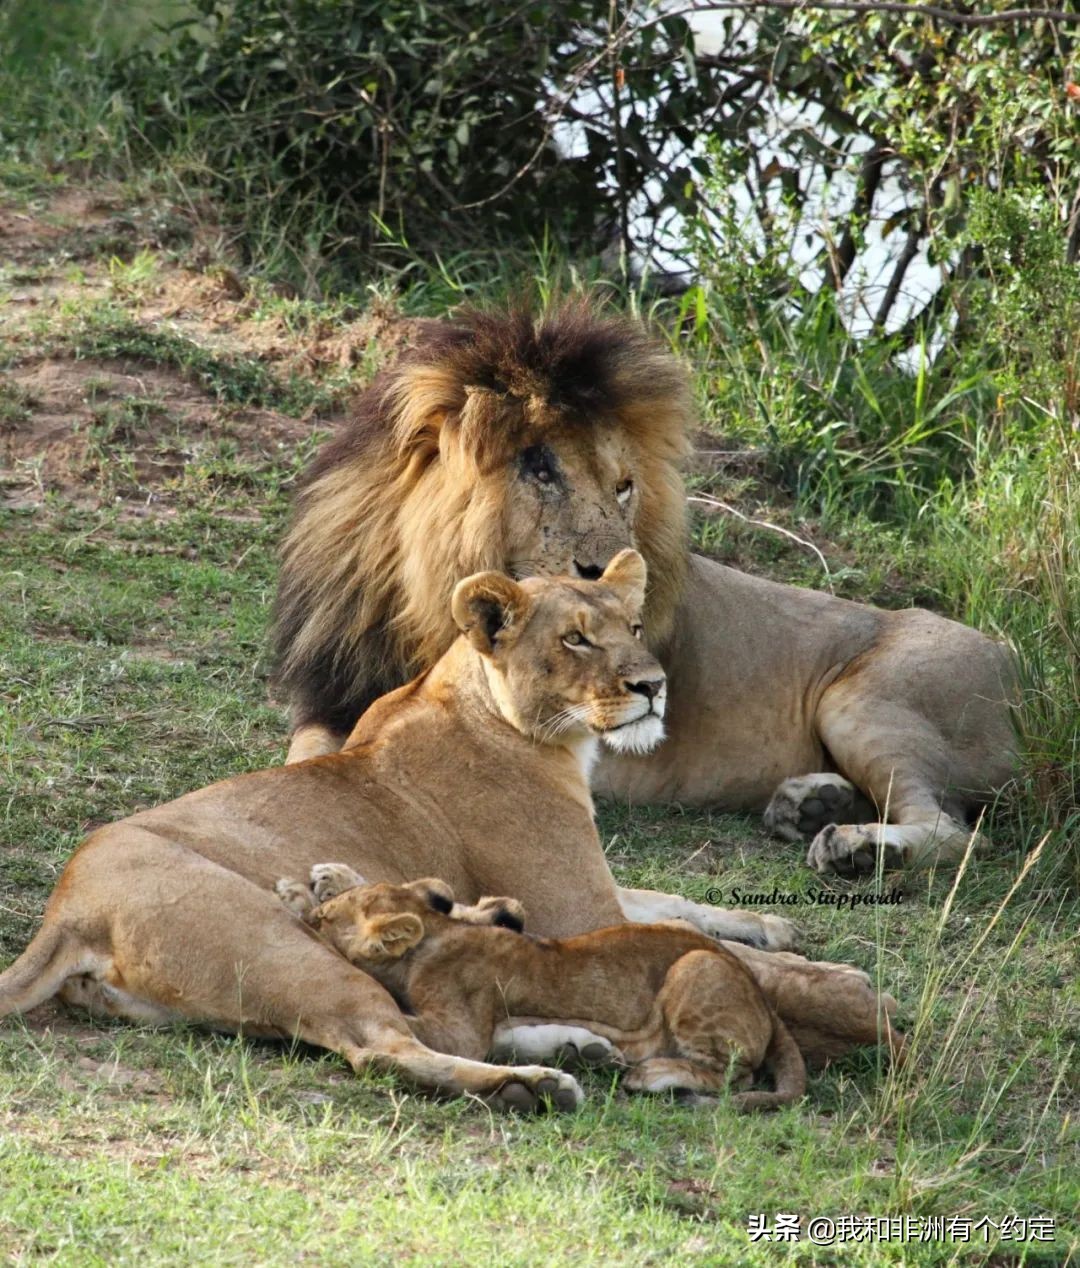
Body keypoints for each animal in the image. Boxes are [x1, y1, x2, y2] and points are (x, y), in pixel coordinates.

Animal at [273, 300, 1017, 875]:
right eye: (541, 470)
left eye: (623, 486)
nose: (615, 569)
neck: (420, 603)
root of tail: (1025, 672)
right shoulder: (332, 699)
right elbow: (306, 760)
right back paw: (808, 805)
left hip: (863, 698)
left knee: (955, 831)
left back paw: (855, 848)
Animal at [274, 868, 813, 1112]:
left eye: (324, 922)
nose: (312, 917)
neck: (437, 935)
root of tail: (767, 1007)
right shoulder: (494, 914)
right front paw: (318, 883)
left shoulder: (460, 1025)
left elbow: (404, 1021)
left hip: (697, 965)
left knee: (735, 1075)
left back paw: (651, 1075)